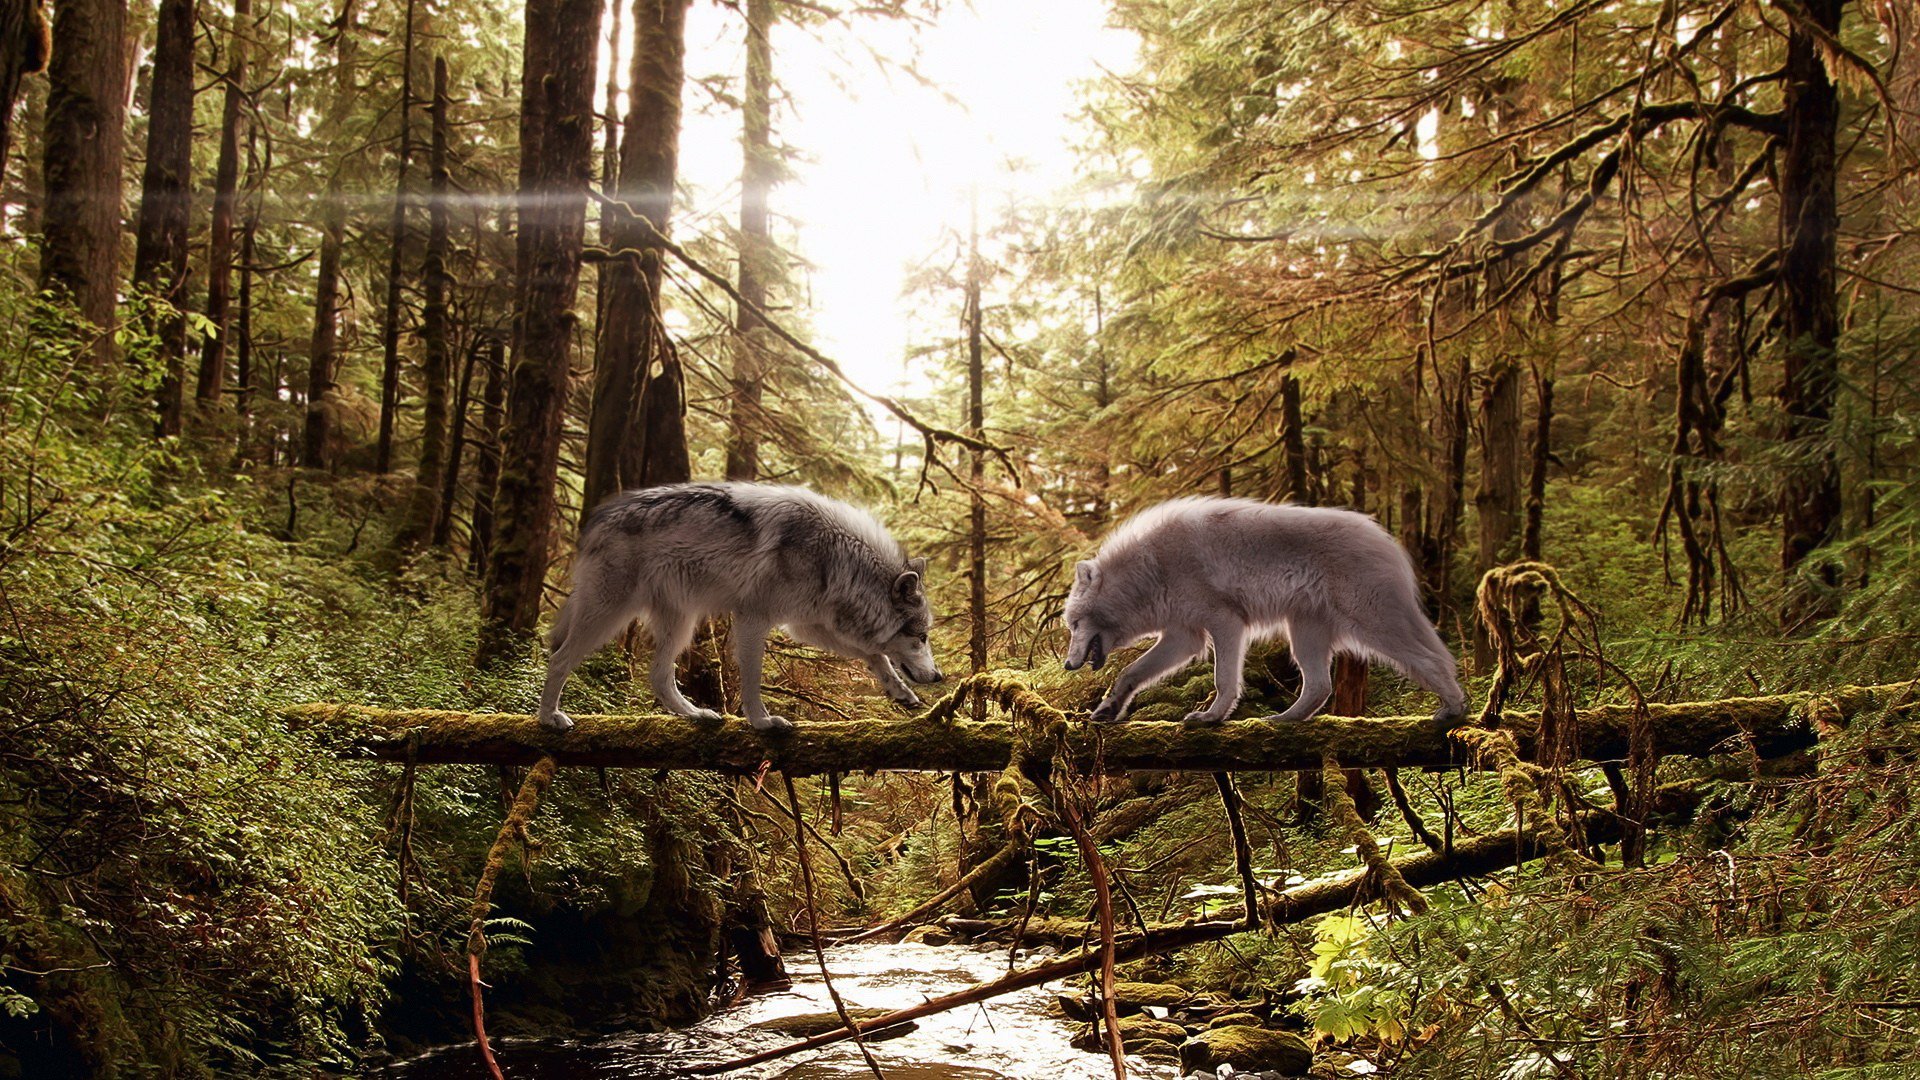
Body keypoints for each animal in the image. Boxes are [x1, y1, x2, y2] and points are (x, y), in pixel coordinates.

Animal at [538, 482, 944, 733]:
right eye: (923, 636)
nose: (939, 676)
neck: (835, 557)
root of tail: (596, 520)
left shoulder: (808, 626)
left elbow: (874, 654)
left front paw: (900, 692)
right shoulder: (754, 619)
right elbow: (751, 680)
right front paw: (762, 723)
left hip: (680, 623)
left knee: (659, 677)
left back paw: (696, 714)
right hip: (608, 616)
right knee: (558, 659)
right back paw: (548, 718)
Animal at [1062, 497, 1465, 726]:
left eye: (1074, 624)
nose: (1067, 664)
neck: (1150, 569)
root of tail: (1388, 541)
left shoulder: (1225, 623)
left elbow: (1224, 681)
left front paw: (1211, 717)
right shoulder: (1183, 637)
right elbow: (1129, 673)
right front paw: (1109, 710)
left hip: (1373, 625)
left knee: (1432, 660)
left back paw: (1454, 707)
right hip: (1304, 634)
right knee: (1320, 686)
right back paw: (1285, 719)